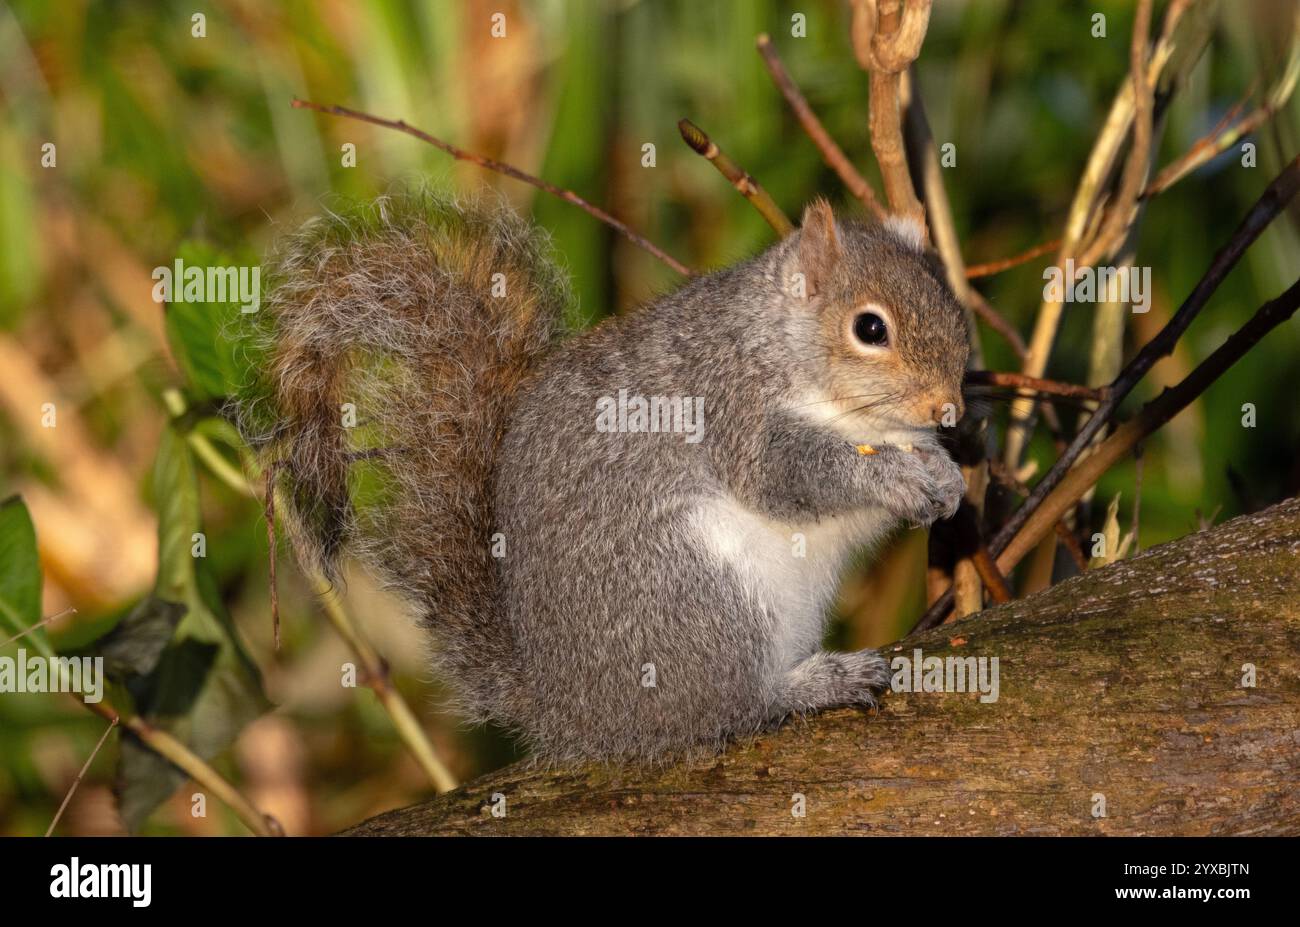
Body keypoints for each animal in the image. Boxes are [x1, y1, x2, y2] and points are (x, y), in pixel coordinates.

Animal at [238, 188, 969, 764]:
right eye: (869, 328)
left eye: (949, 302)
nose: (949, 406)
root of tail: (575, 715)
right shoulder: (731, 411)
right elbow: (787, 477)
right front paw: (890, 480)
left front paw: (945, 475)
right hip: (694, 592)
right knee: (727, 709)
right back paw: (812, 684)